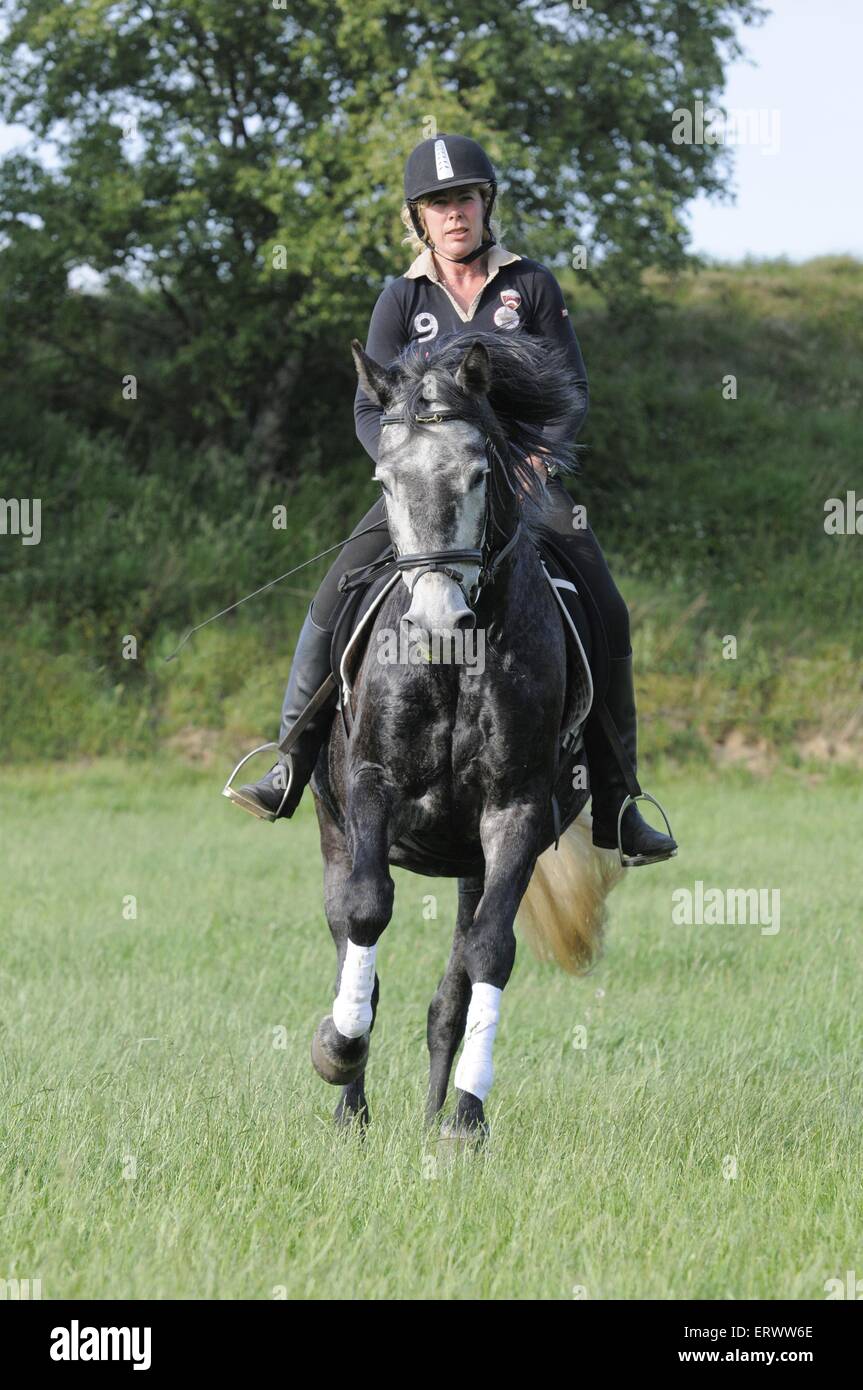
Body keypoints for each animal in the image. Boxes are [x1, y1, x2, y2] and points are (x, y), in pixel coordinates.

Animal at [309, 329, 622, 1142]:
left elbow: (488, 953)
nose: (437, 622)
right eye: (386, 480)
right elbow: (366, 911)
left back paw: (429, 1116)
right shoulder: (371, 786)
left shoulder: (513, 812)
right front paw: (337, 1052)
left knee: (448, 995)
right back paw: (349, 1105)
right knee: (349, 933)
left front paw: (466, 1120)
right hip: (332, 828)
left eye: (480, 474)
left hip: (471, 861)